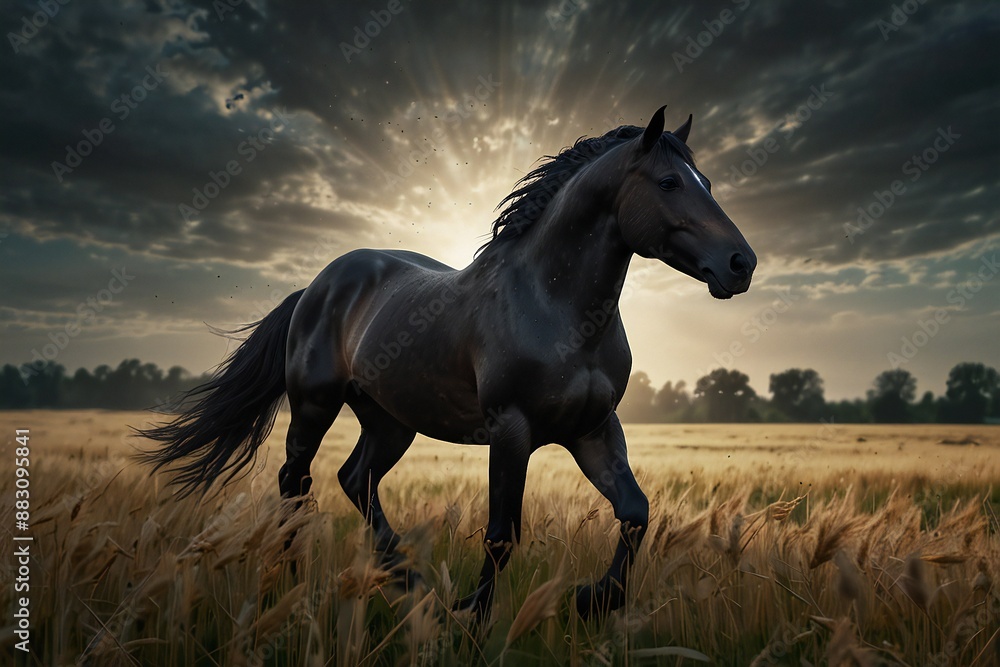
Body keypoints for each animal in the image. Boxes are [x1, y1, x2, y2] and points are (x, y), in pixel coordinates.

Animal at [137, 105, 756, 620]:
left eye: (707, 182)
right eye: (669, 182)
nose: (741, 263)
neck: (555, 306)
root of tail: (318, 285)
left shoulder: (593, 429)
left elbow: (636, 512)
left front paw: (591, 602)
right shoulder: (511, 429)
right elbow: (501, 536)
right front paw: (473, 621)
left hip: (391, 420)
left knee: (354, 479)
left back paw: (410, 584)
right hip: (314, 404)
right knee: (296, 480)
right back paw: (293, 582)